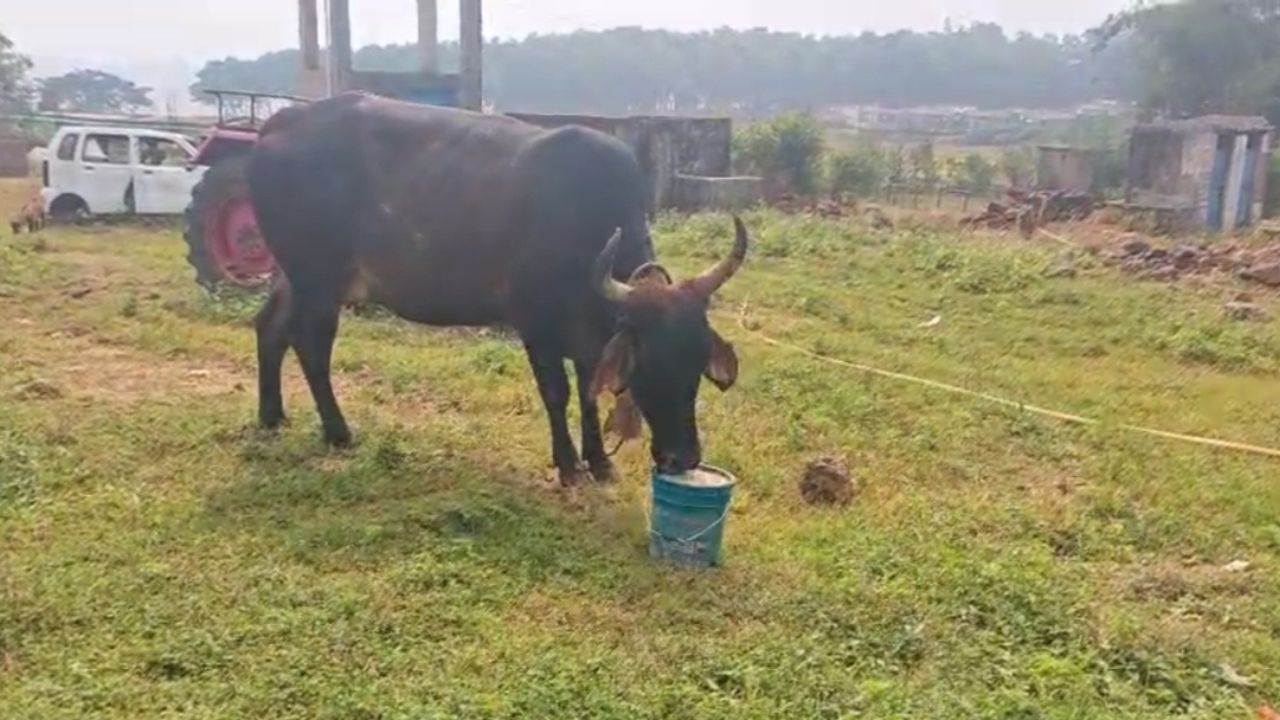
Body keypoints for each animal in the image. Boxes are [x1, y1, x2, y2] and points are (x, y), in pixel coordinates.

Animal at [247, 92, 749, 485]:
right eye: (652, 365)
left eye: (696, 365)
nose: (684, 458)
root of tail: (281, 122)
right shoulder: (535, 325)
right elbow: (557, 393)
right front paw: (569, 465)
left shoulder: (589, 339)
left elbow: (588, 392)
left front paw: (601, 463)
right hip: (317, 281)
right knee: (310, 347)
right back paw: (338, 432)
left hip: (293, 277)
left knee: (269, 327)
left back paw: (271, 416)